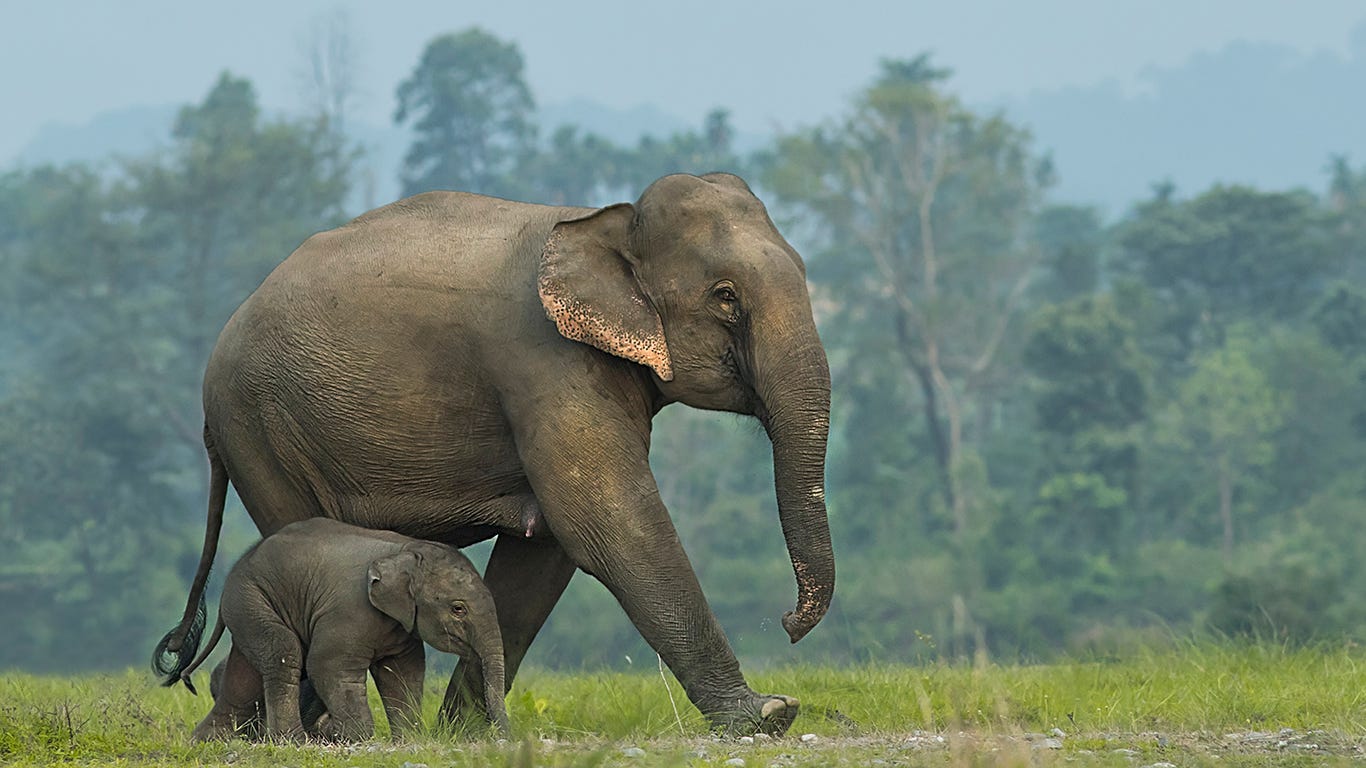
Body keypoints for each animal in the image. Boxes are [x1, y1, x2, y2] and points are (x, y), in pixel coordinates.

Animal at [176, 518, 508, 742]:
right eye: (458, 609)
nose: (505, 737)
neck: (407, 548)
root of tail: (239, 565)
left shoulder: (402, 627)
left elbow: (403, 673)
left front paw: (408, 739)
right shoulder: (350, 610)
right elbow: (327, 664)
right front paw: (347, 736)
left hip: (249, 604)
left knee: (245, 676)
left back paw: (206, 741)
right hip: (251, 597)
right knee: (284, 652)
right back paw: (294, 741)